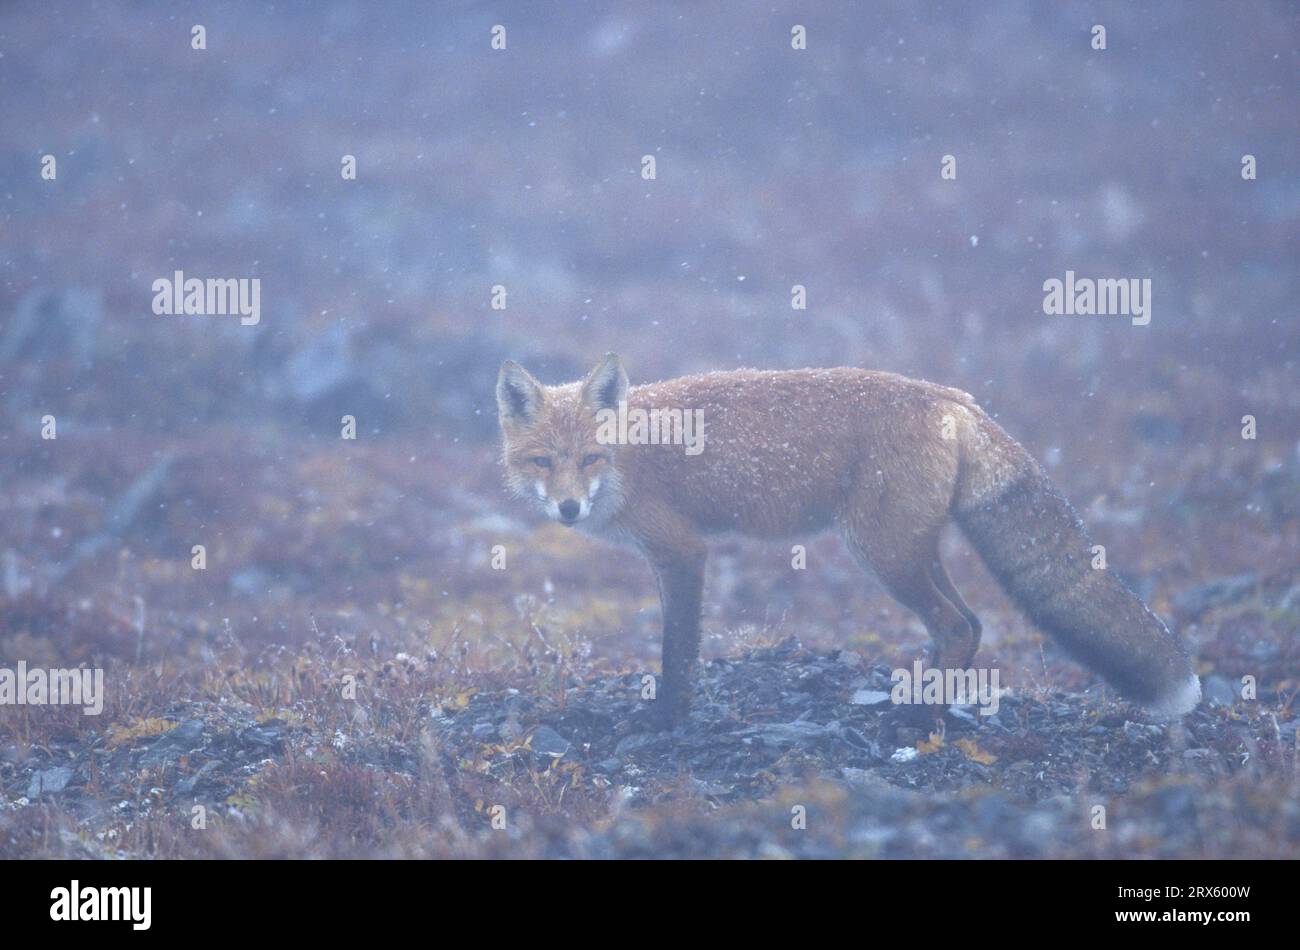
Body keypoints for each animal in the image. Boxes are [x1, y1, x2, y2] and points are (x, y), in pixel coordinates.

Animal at [496, 353, 1201, 727]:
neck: (632, 455)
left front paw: (668, 720)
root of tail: (954, 396)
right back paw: (924, 702)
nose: (567, 507)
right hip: (910, 551)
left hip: (881, 554)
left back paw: (916, 720)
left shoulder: (682, 552)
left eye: (589, 459)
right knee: (970, 624)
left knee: (956, 625)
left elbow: (677, 651)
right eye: (543, 462)